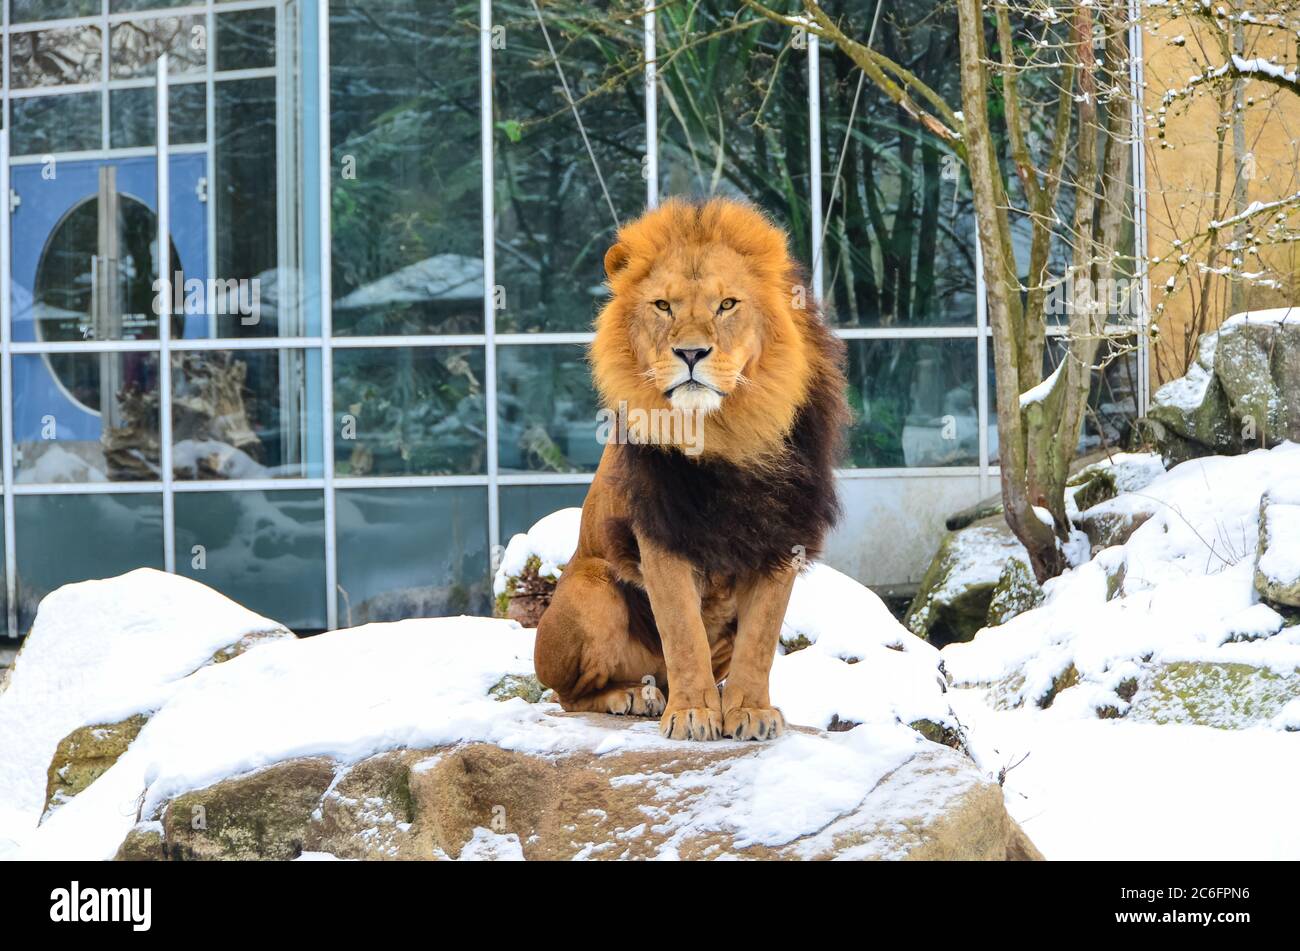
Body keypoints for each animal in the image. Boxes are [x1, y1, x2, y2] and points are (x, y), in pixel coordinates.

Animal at [533, 197, 849, 741]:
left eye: (727, 305)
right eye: (664, 306)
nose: (691, 353)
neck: (726, 432)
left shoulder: (782, 534)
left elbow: (761, 640)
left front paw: (749, 710)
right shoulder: (661, 530)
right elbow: (682, 630)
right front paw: (693, 712)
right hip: (592, 589)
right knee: (567, 697)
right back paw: (632, 697)